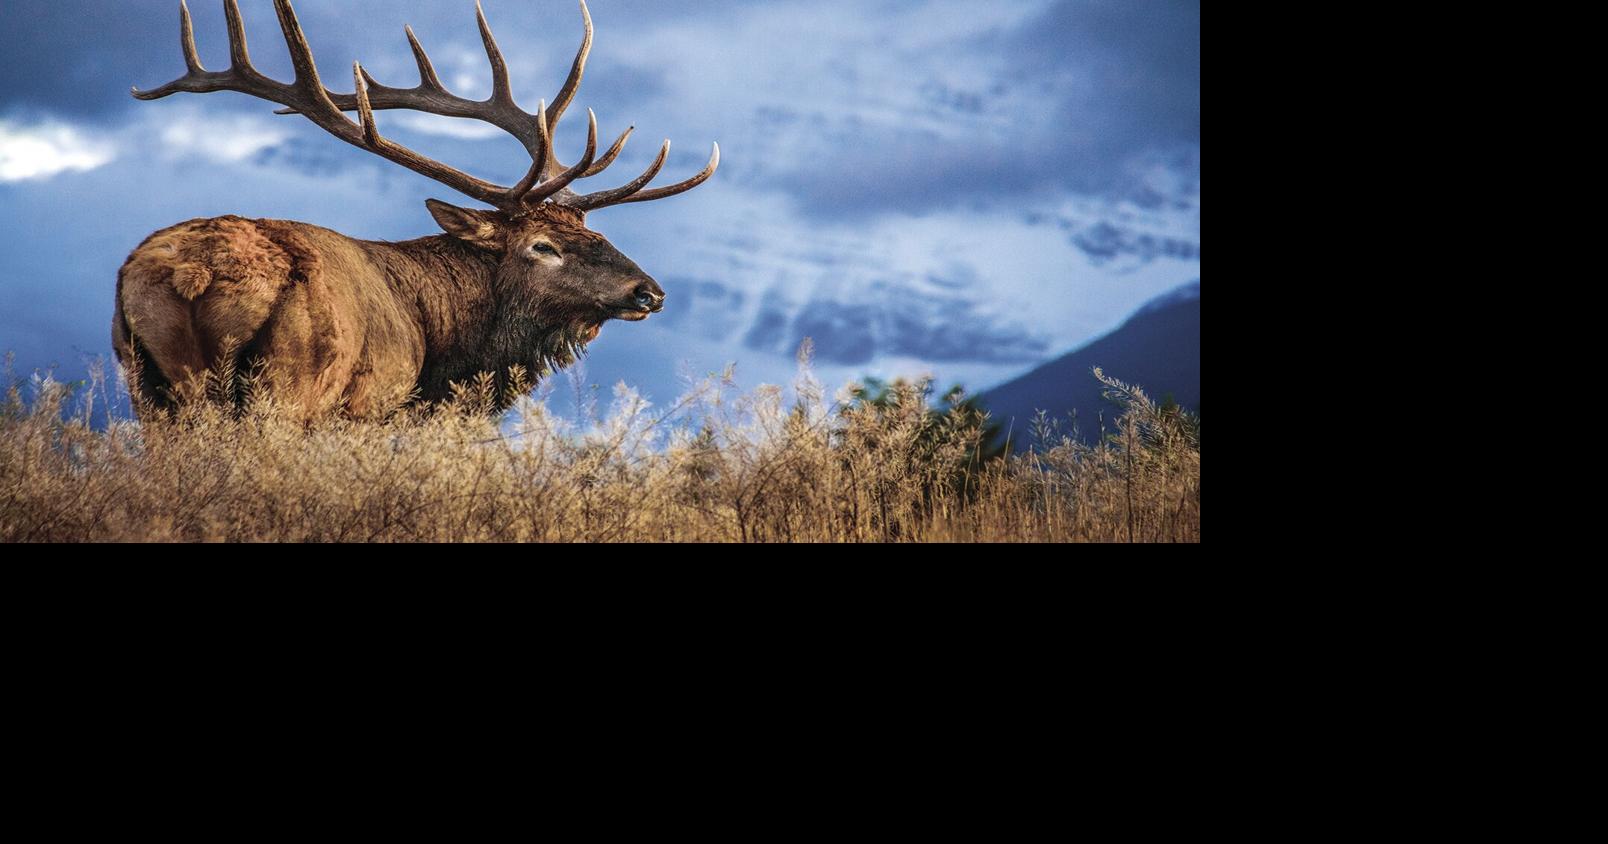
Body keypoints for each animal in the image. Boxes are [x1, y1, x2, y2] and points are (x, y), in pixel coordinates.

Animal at [113, 0, 718, 420]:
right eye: (541, 246)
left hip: (147, 387)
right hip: (289, 385)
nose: (648, 292)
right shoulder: (369, 408)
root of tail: (195, 273)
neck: (444, 347)